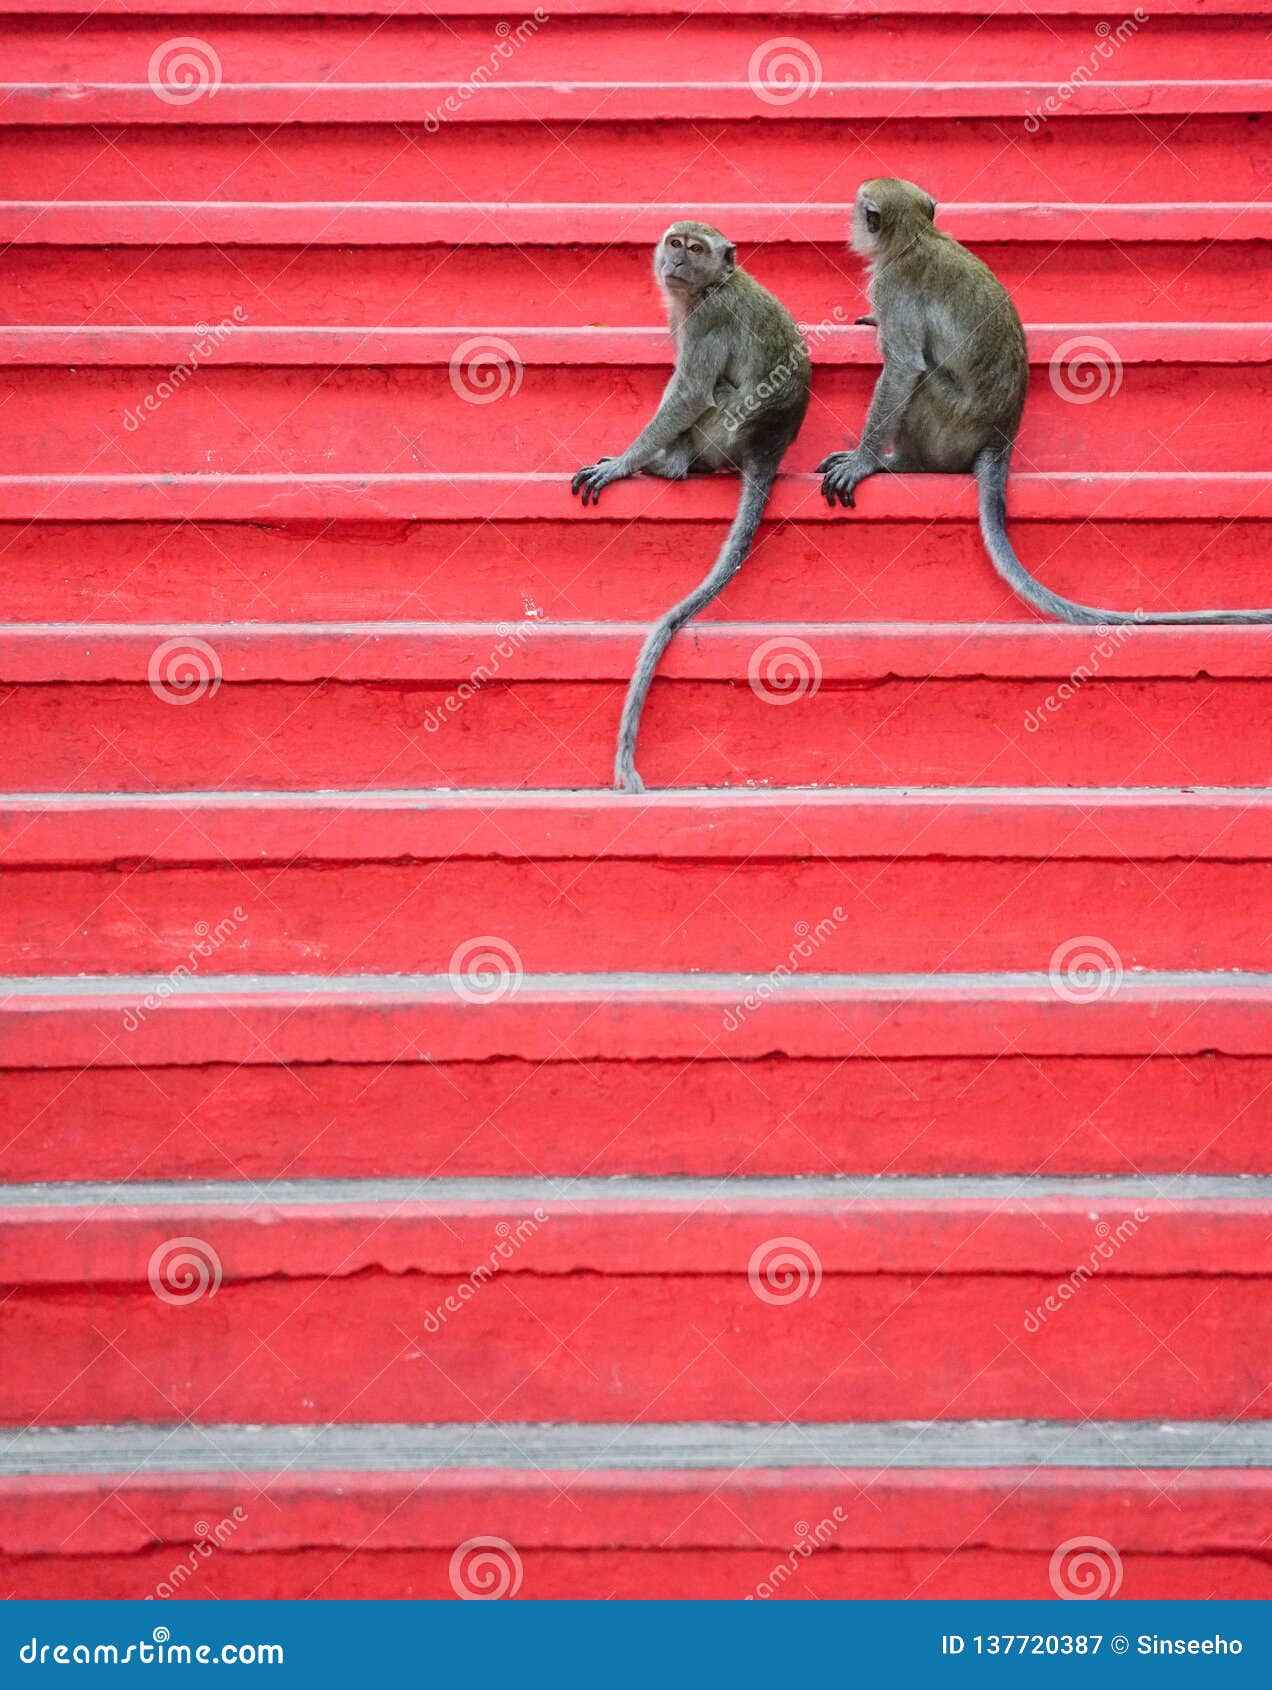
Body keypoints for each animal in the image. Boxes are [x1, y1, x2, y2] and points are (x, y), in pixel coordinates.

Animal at [572, 220, 811, 792]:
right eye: (676, 244)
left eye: (696, 249)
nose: (677, 261)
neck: (707, 288)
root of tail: (771, 446)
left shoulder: (707, 322)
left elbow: (689, 392)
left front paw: (625, 463)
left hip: (726, 435)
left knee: (710, 391)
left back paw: (672, 464)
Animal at [819, 177, 1272, 625]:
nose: (850, 224)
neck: (916, 237)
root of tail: (1001, 436)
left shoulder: (892, 290)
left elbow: (903, 368)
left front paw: (863, 461)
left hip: (949, 430)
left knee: (925, 380)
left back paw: (902, 463)